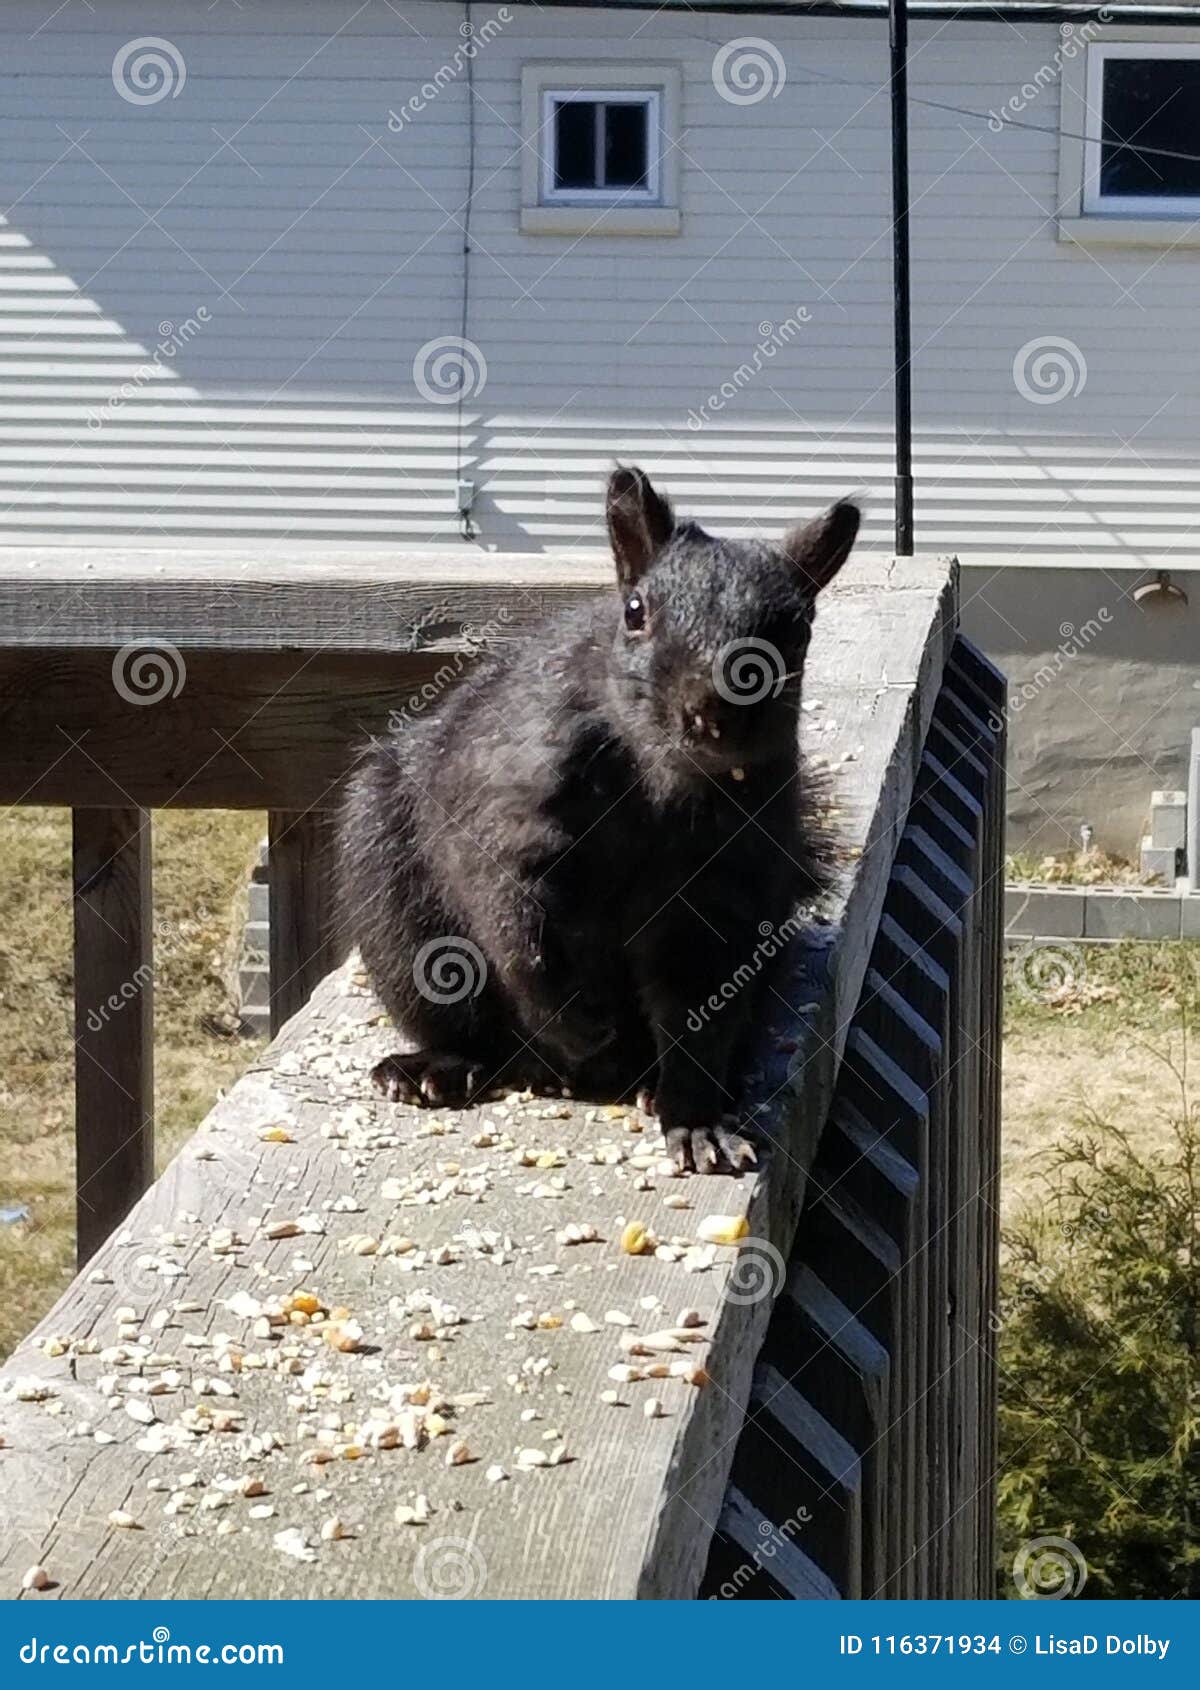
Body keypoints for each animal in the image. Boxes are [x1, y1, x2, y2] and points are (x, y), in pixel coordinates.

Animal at [337, 466, 859, 1172]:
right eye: (635, 611)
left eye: (799, 630)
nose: (715, 715)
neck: (664, 783)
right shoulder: (514, 816)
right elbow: (515, 923)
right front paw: (581, 1020)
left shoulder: (727, 885)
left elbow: (701, 996)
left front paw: (696, 1119)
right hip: (393, 907)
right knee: (475, 1030)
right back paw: (441, 1066)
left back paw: (649, 1080)